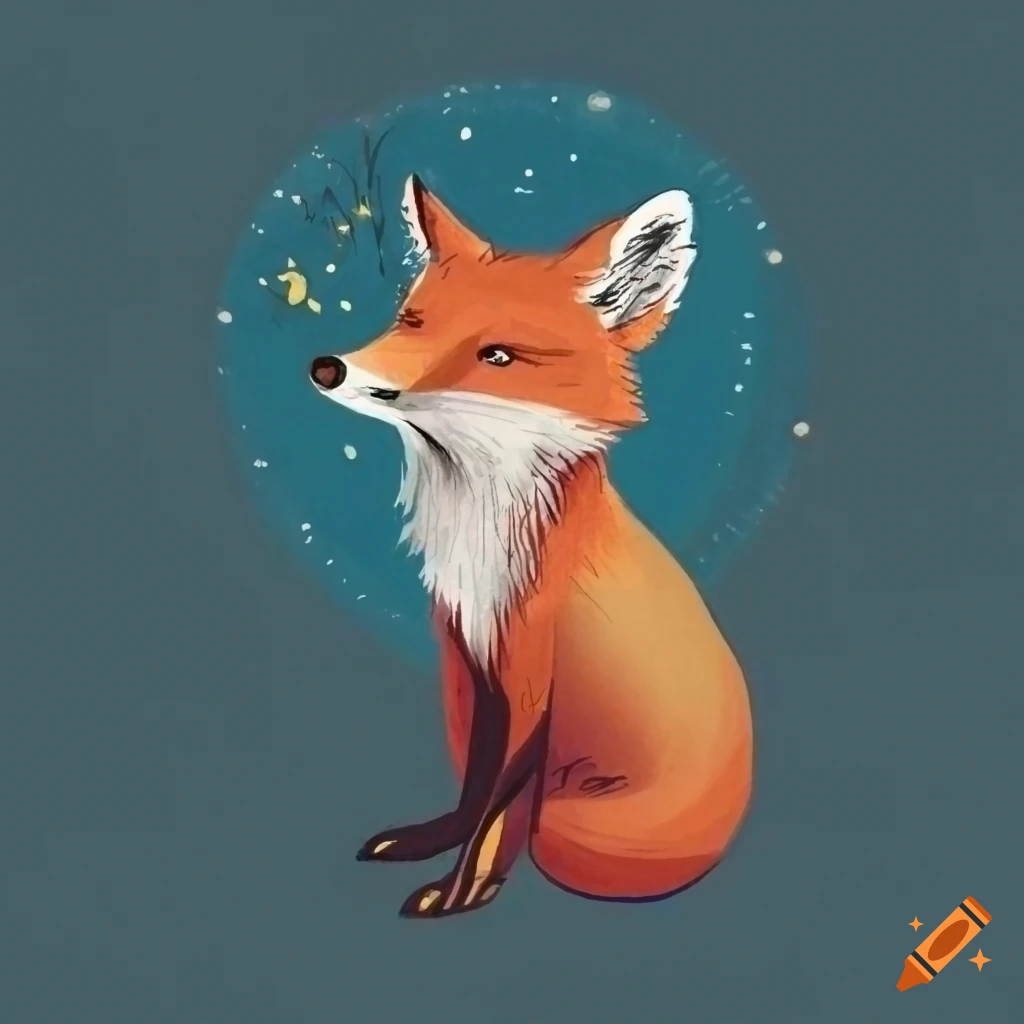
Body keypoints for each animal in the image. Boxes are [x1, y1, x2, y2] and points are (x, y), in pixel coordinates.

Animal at [309, 174, 753, 919]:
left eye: (497, 356)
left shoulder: (531, 681)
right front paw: (432, 846)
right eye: (411, 319)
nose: (326, 368)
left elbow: (500, 810)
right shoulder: (470, 664)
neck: (483, 550)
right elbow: (473, 791)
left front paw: (462, 893)